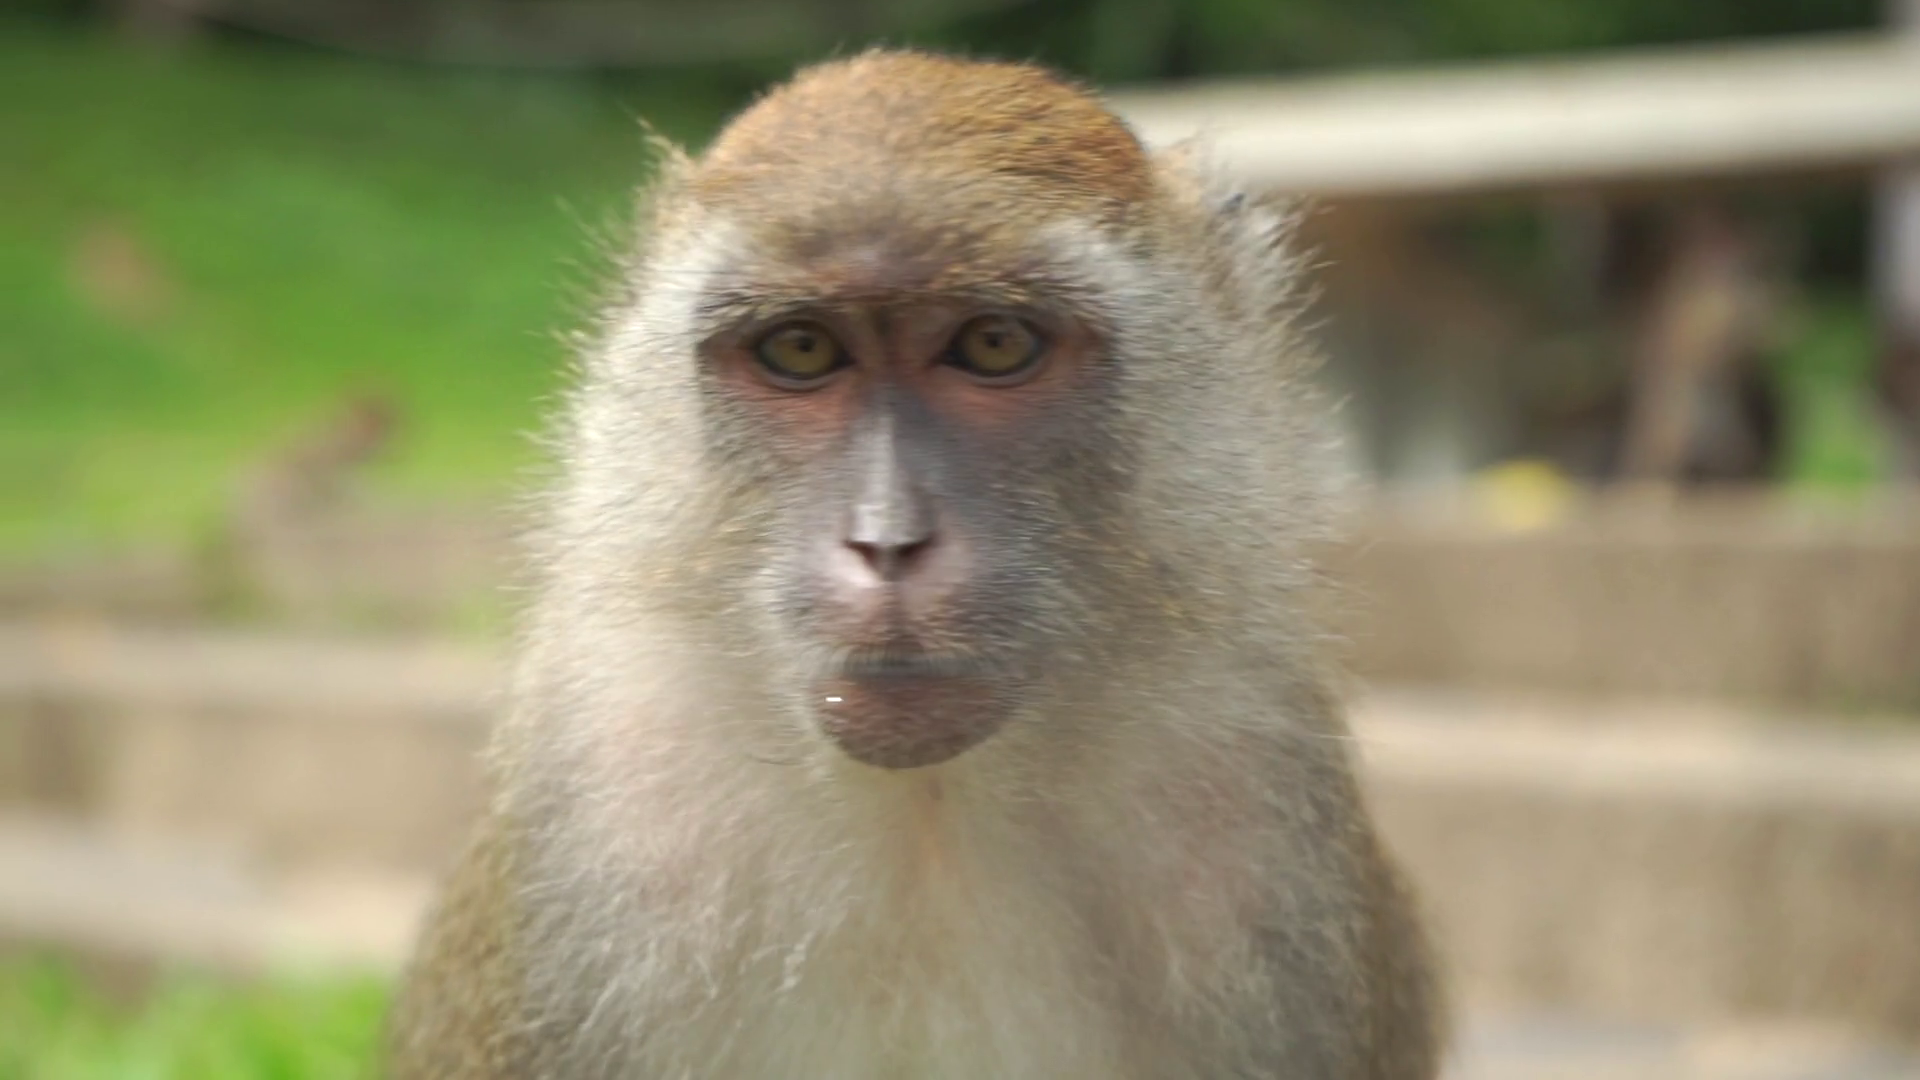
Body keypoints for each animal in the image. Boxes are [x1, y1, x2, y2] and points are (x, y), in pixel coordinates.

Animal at [386, 49, 1446, 1080]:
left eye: (994, 343)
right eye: (802, 349)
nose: (887, 539)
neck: (926, 815)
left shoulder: (1253, 830)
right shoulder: (605, 814)